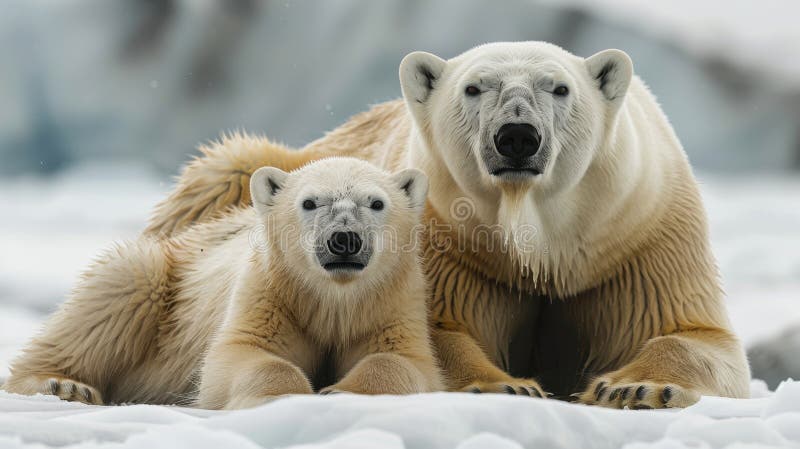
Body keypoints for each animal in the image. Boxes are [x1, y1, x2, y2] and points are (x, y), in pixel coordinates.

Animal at [3, 157, 443, 408]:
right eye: (309, 202)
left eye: (377, 202)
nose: (344, 239)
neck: (332, 296)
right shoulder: (269, 293)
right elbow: (239, 355)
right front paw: (288, 396)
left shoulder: (390, 300)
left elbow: (404, 361)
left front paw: (340, 391)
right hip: (167, 279)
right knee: (115, 293)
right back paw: (62, 385)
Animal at [142, 42, 749, 408]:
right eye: (474, 88)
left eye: (559, 88)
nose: (517, 136)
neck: (534, 237)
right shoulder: (449, 243)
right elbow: (439, 333)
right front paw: (507, 387)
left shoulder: (639, 235)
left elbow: (692, 332)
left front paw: (636, 387)